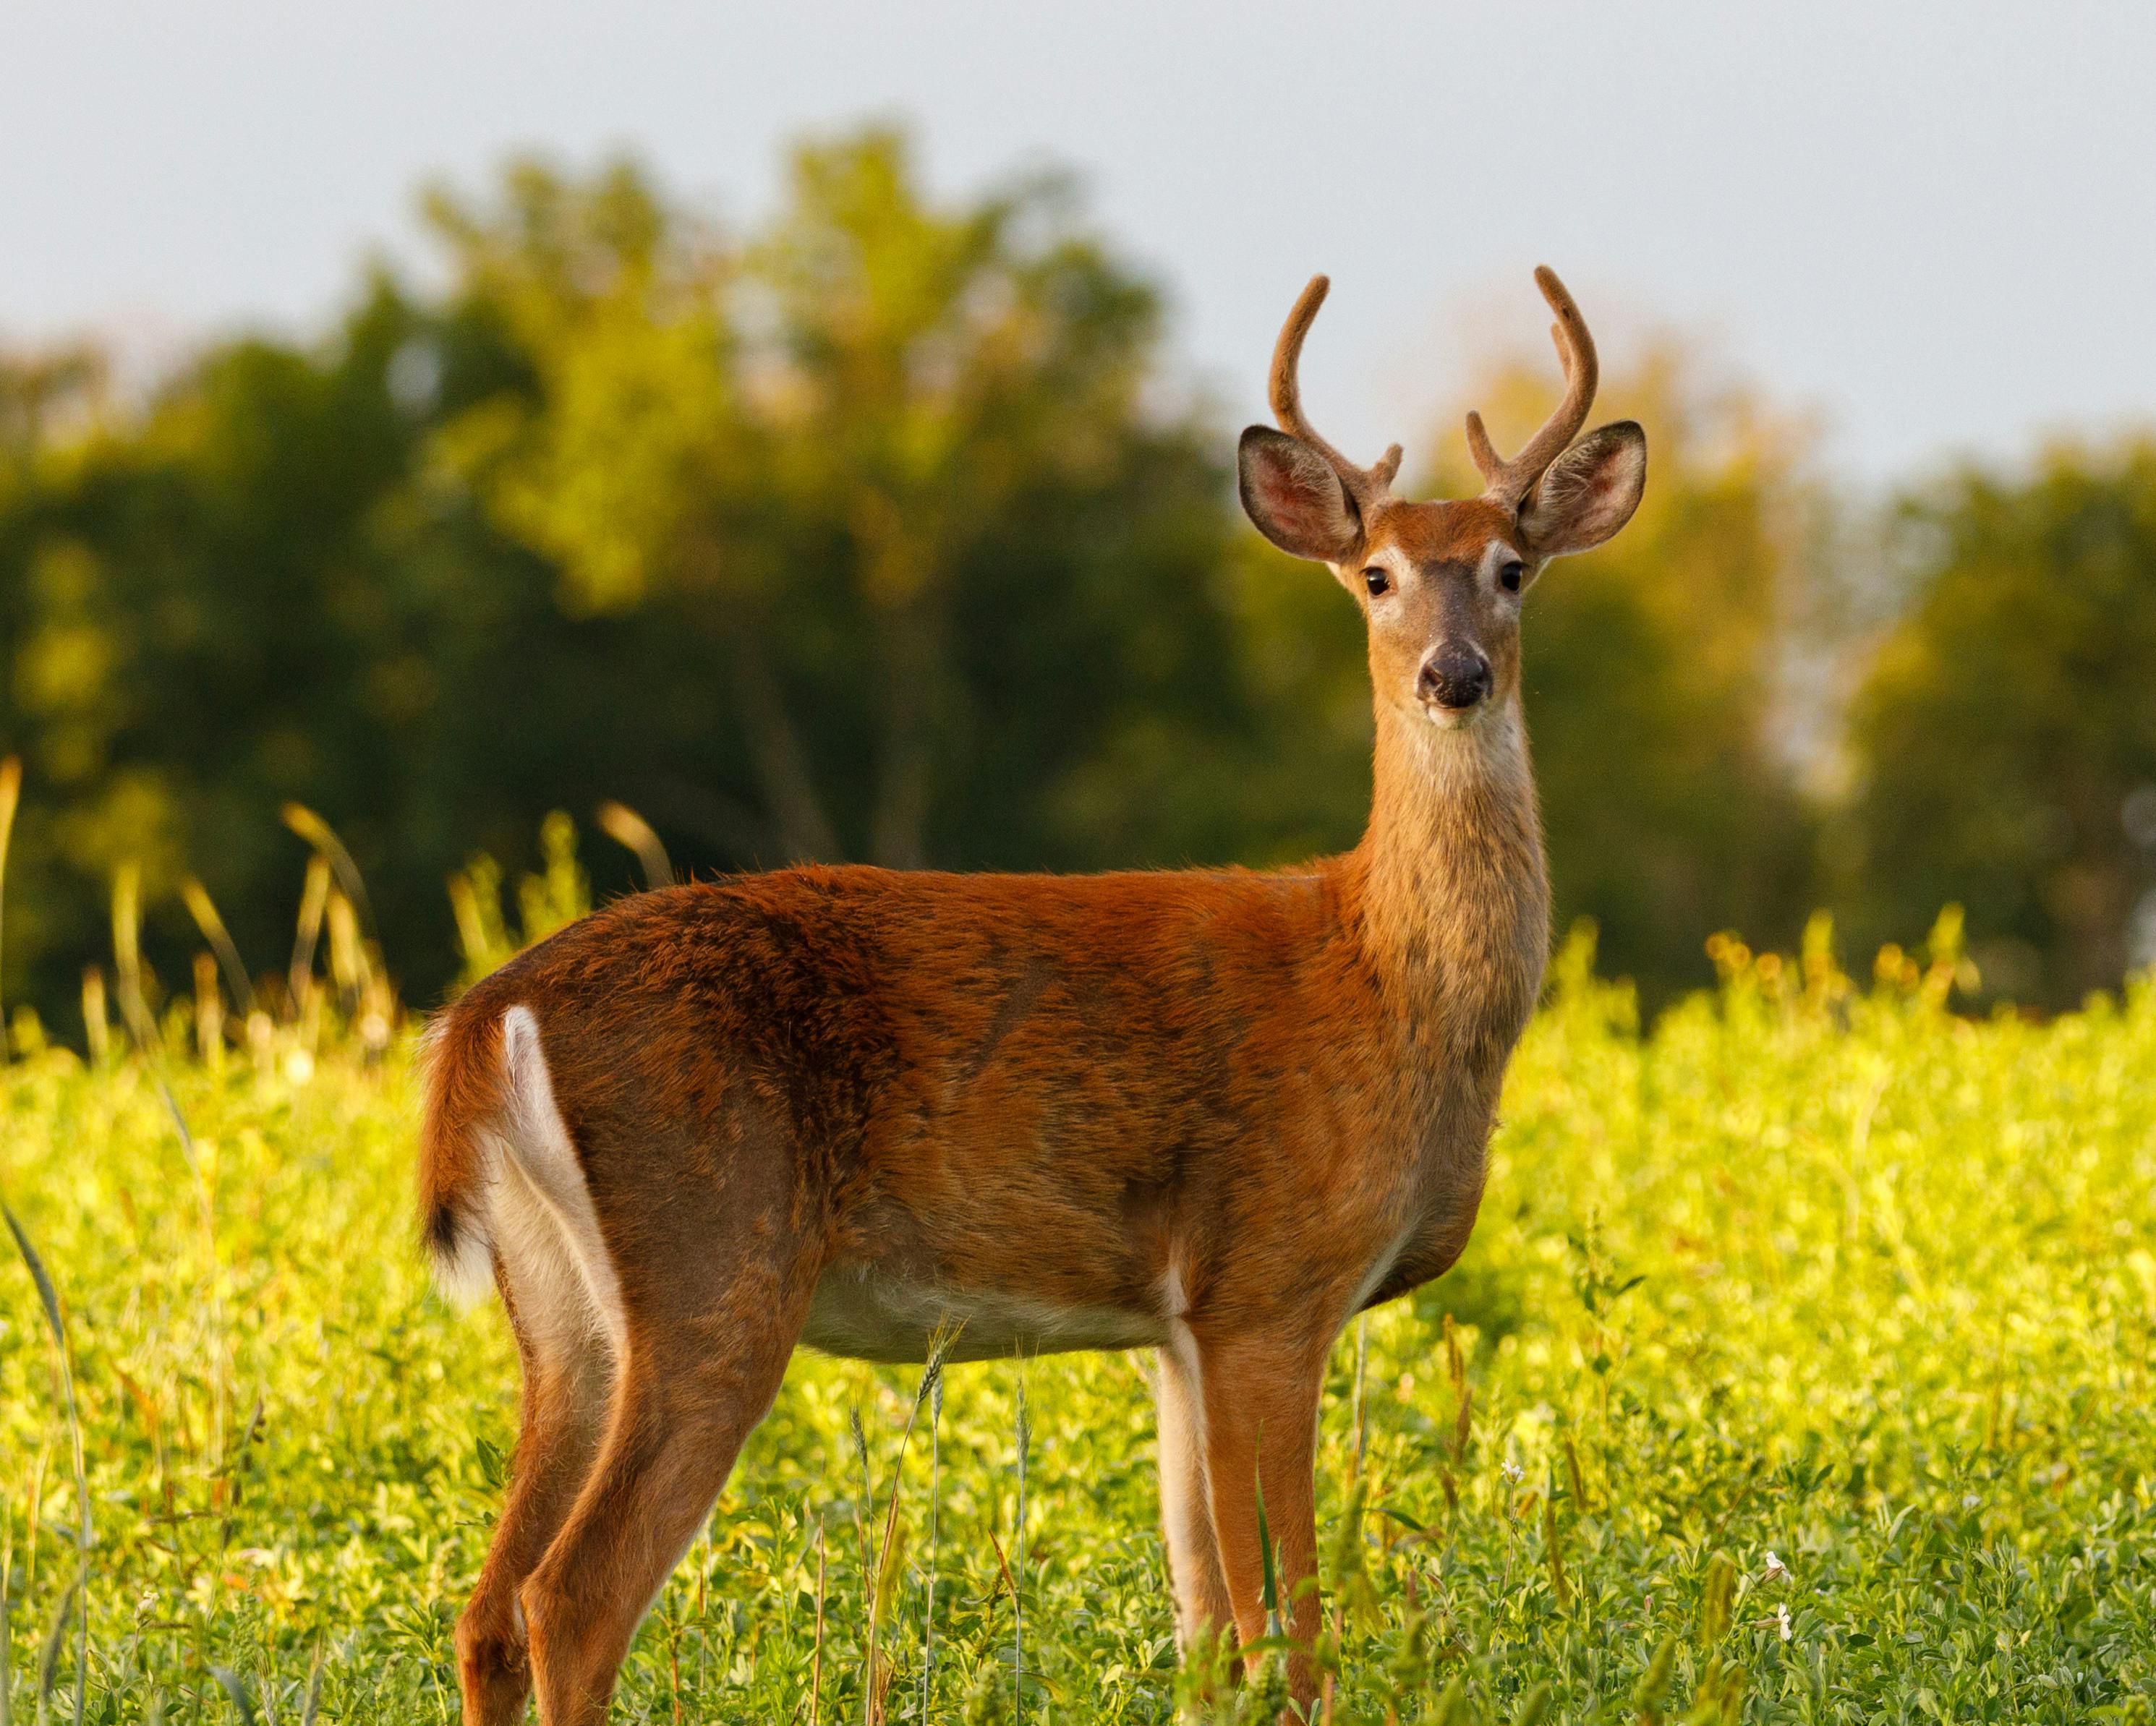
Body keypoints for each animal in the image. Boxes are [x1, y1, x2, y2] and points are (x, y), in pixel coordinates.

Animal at [420, 266, 1646, 1724]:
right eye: (1376, 574)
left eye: (1514, 568)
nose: (1451, 675)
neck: (1388, 980)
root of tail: (492, 1012)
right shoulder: (1269, 1282)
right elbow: (1285, 1634)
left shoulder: (1177, 1327)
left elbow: (1202, 1628)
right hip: (715, 1252)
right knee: (573, 1594)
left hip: (560, 1306)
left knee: (487, 1605)